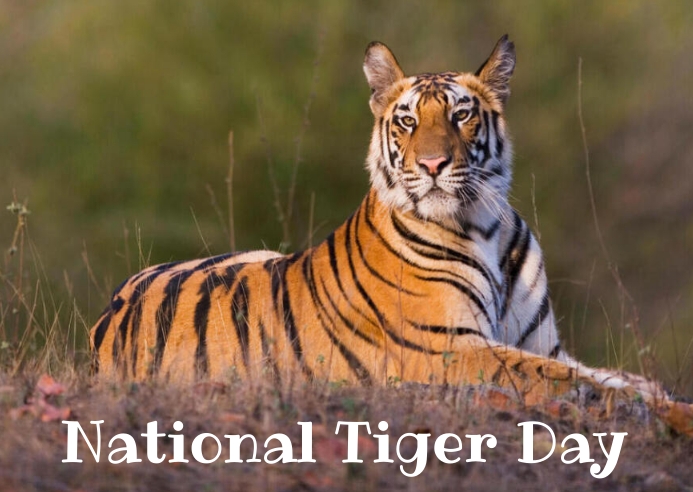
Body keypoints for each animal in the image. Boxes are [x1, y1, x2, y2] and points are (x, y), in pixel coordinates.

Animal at [90, 36, 667, 407]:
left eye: (461, 115)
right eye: (408, 121)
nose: (432, 165)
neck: (485, 225)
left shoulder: (541, 344)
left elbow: (609, 374)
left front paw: (651, 390)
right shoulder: (449, 347)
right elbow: (575, 381)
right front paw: (665, 413)